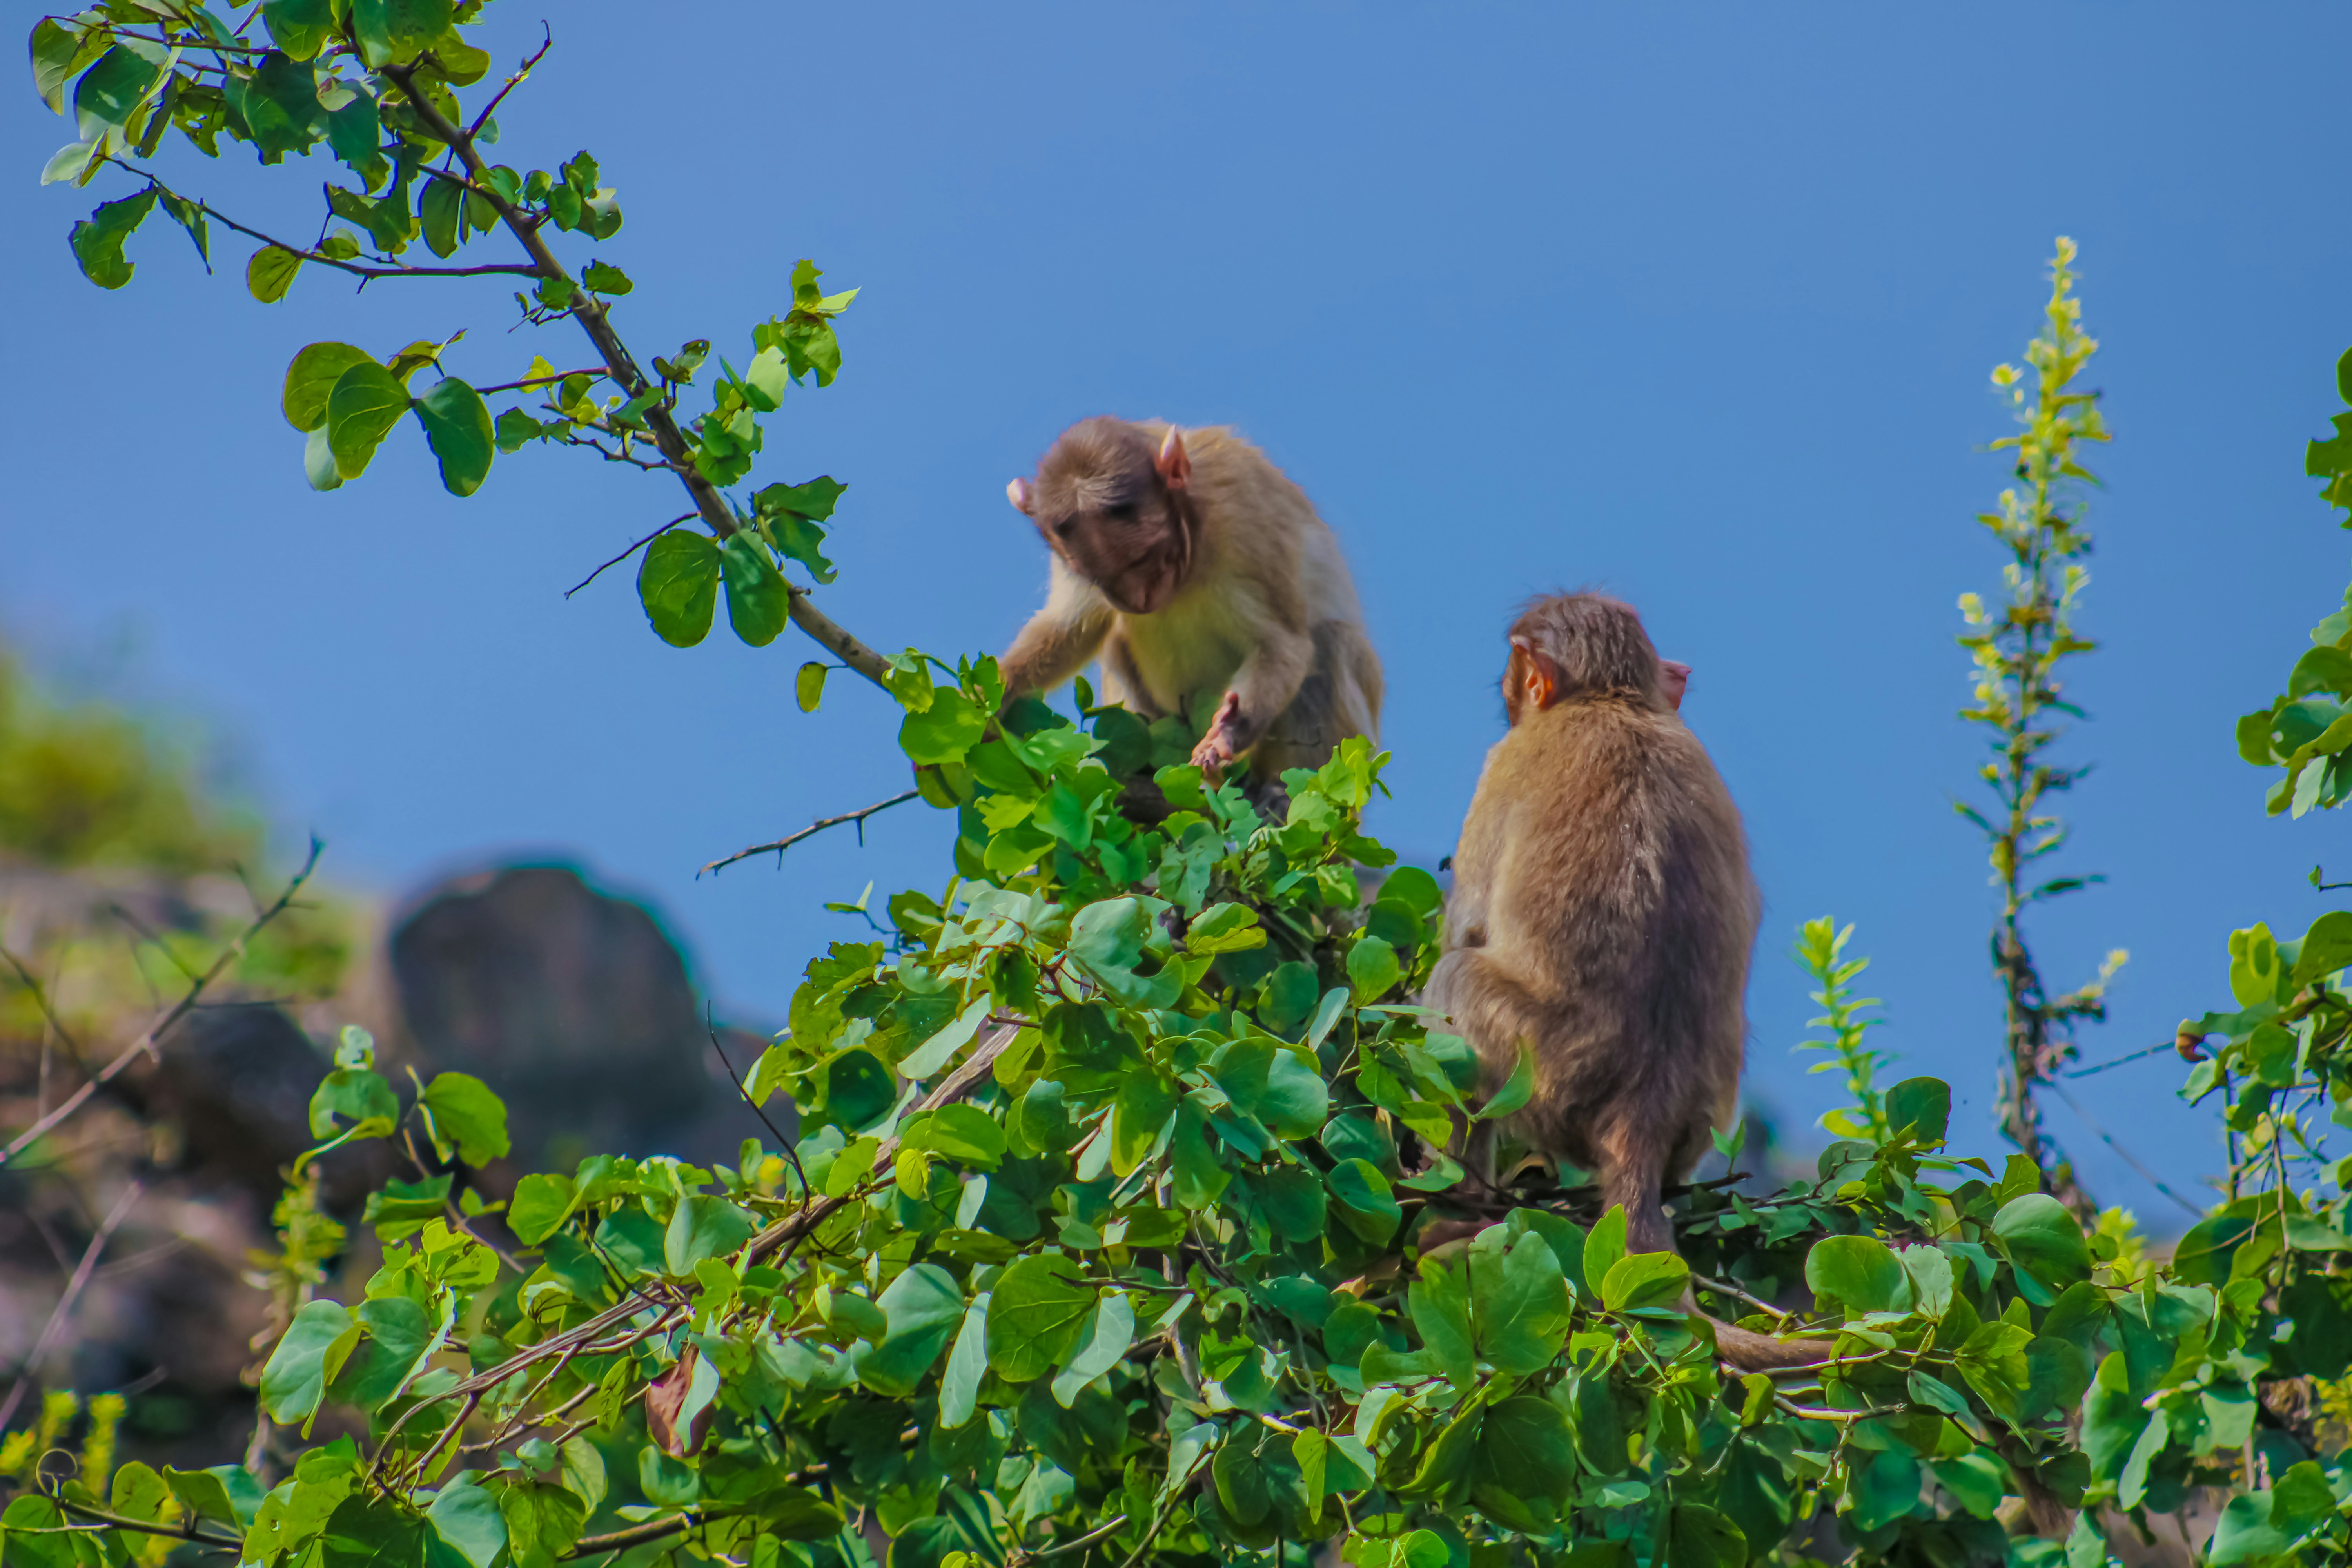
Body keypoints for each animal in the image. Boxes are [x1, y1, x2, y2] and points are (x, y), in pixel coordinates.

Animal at [998, 417, 1382, 786]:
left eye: (1145, 558)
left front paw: (1228, 732)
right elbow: (1070, 627)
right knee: (1115, 642)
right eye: (1101, 580)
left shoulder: (1244, 517)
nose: (1140, 600)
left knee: (1329, 644)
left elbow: (1284, 645)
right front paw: (995, 692)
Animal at [1423, 591, 1829, 1372]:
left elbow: (1464, 932)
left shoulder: (1504, 768)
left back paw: (1449, 1219)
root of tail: (1645, 1104)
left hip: (1540, 1070)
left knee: (1454, 983)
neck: (1613, 700)